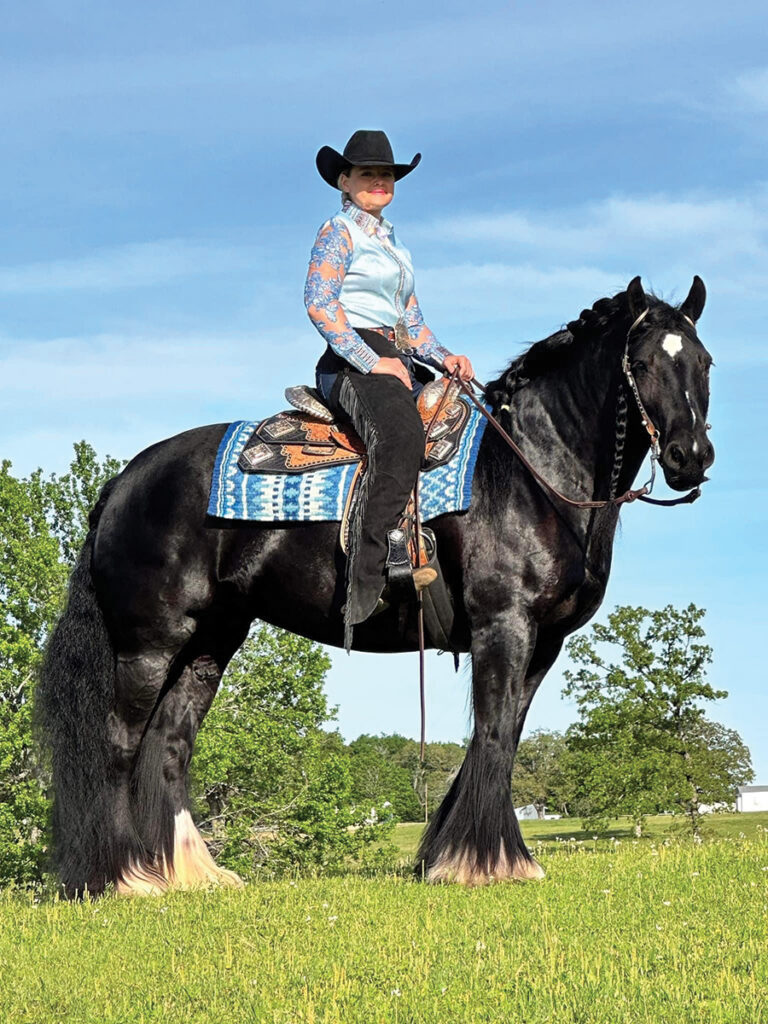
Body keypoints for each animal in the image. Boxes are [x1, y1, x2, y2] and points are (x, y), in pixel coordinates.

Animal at [38, 276, 714, 896]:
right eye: (644, 363)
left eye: (703, 362)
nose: (692, 457)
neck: (530, 474)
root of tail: (126, 480)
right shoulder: (504, 625)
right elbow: (495, 734)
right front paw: (486, 864)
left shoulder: (543, 642)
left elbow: (498, 739)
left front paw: (449, 855)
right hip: (149, 642)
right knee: (119, 743)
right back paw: (123, 878)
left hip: (208, 643)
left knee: (170, 746)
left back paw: (190, 873)